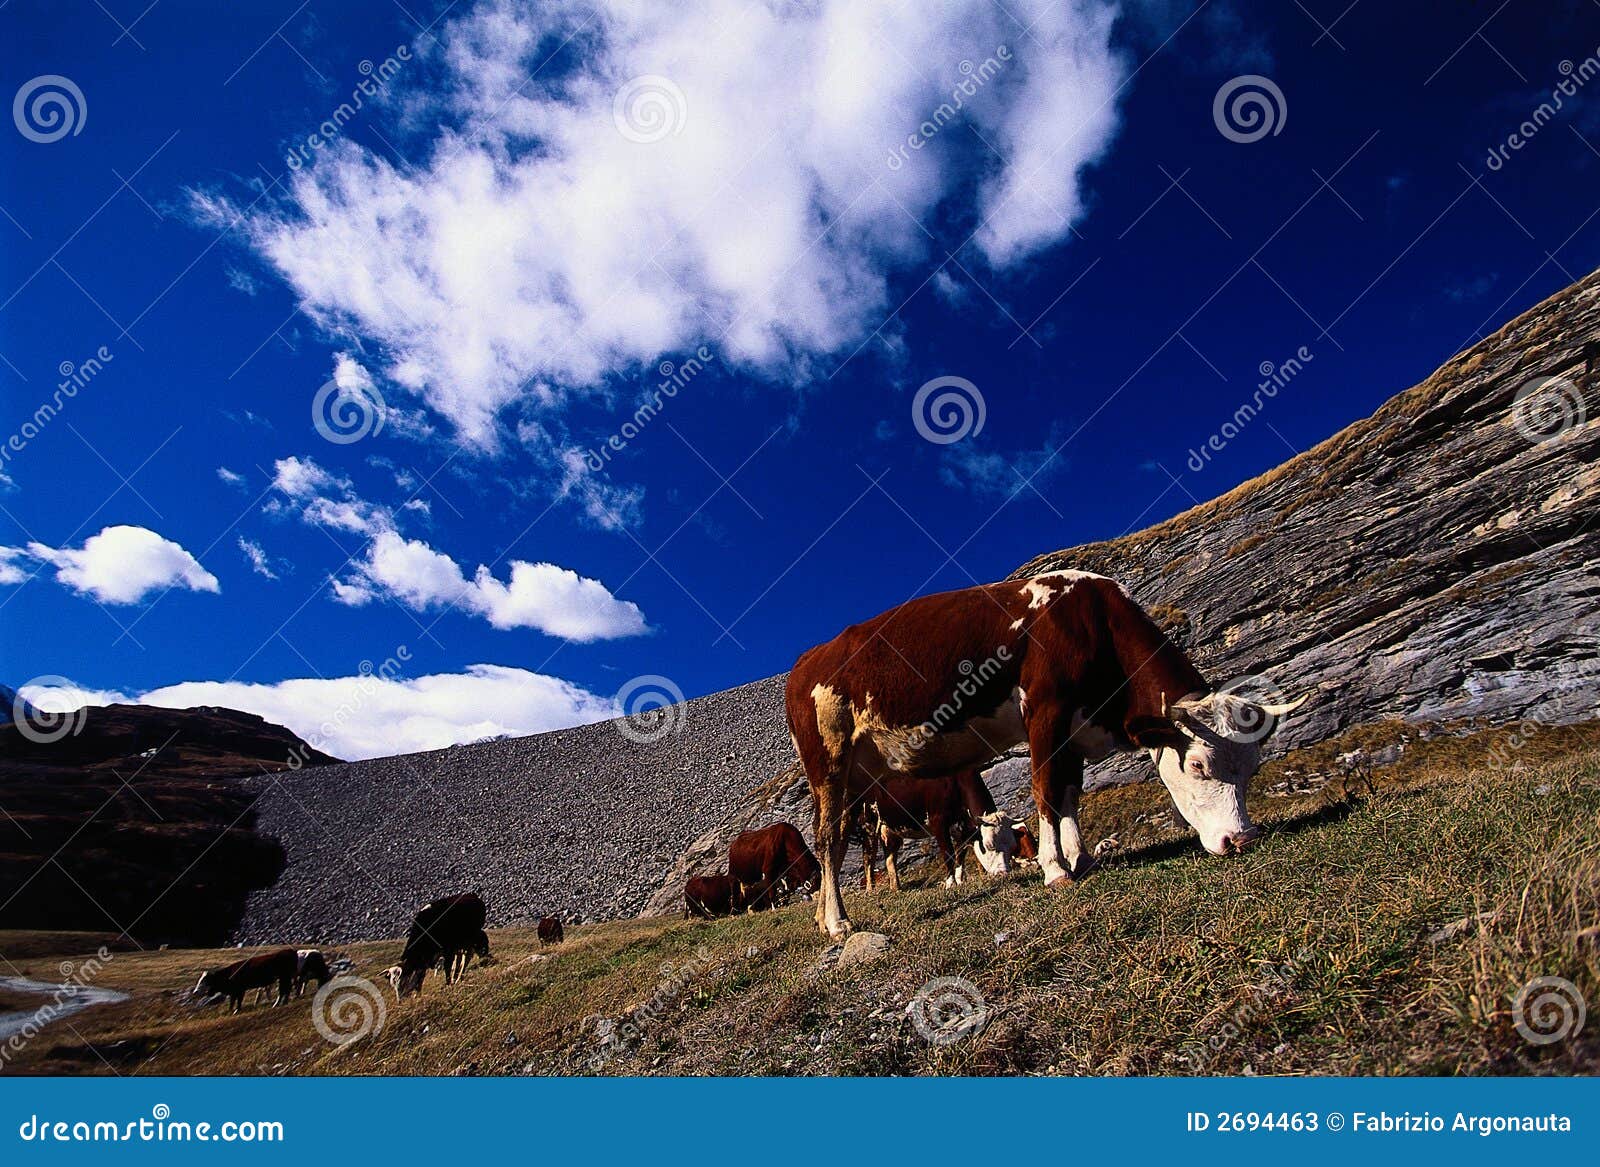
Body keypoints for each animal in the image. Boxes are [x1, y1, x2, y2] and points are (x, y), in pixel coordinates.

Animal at [854, 770, 1026, 892]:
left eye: (1013, 845)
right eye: (990, 845)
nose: (1004, 873)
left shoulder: (962, 827)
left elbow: (960, 853)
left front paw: (960, 880)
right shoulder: (938, 823)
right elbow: (948, 853)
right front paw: (950, 883)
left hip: (890, 828)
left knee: (890, 858)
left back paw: (896, 888)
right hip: (868, 824)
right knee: (868, 858)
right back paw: (871, 890)